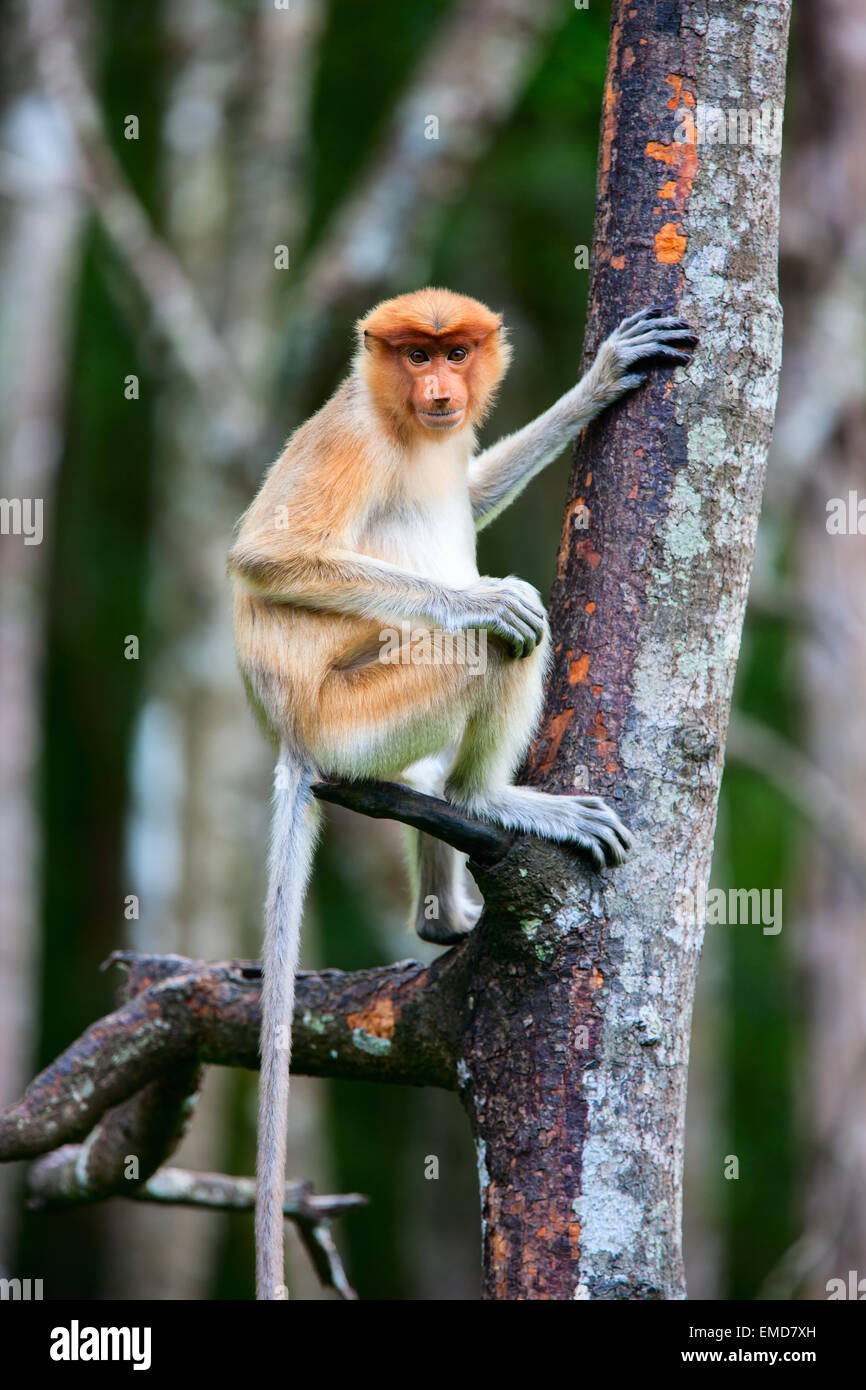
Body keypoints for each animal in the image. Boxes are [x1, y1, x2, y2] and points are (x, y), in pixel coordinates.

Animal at [229, 287, 696, 1299]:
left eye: (452, 353)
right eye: (413, 355)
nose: (440, 389)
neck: (402, 422)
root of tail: (291, 732)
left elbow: (471, 488)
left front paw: (605, 378)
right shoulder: (355, 438)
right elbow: (268, 557)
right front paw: (487, 600)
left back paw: (445, 907)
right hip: (353, 716)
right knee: (495, 651)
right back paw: (493, 800)